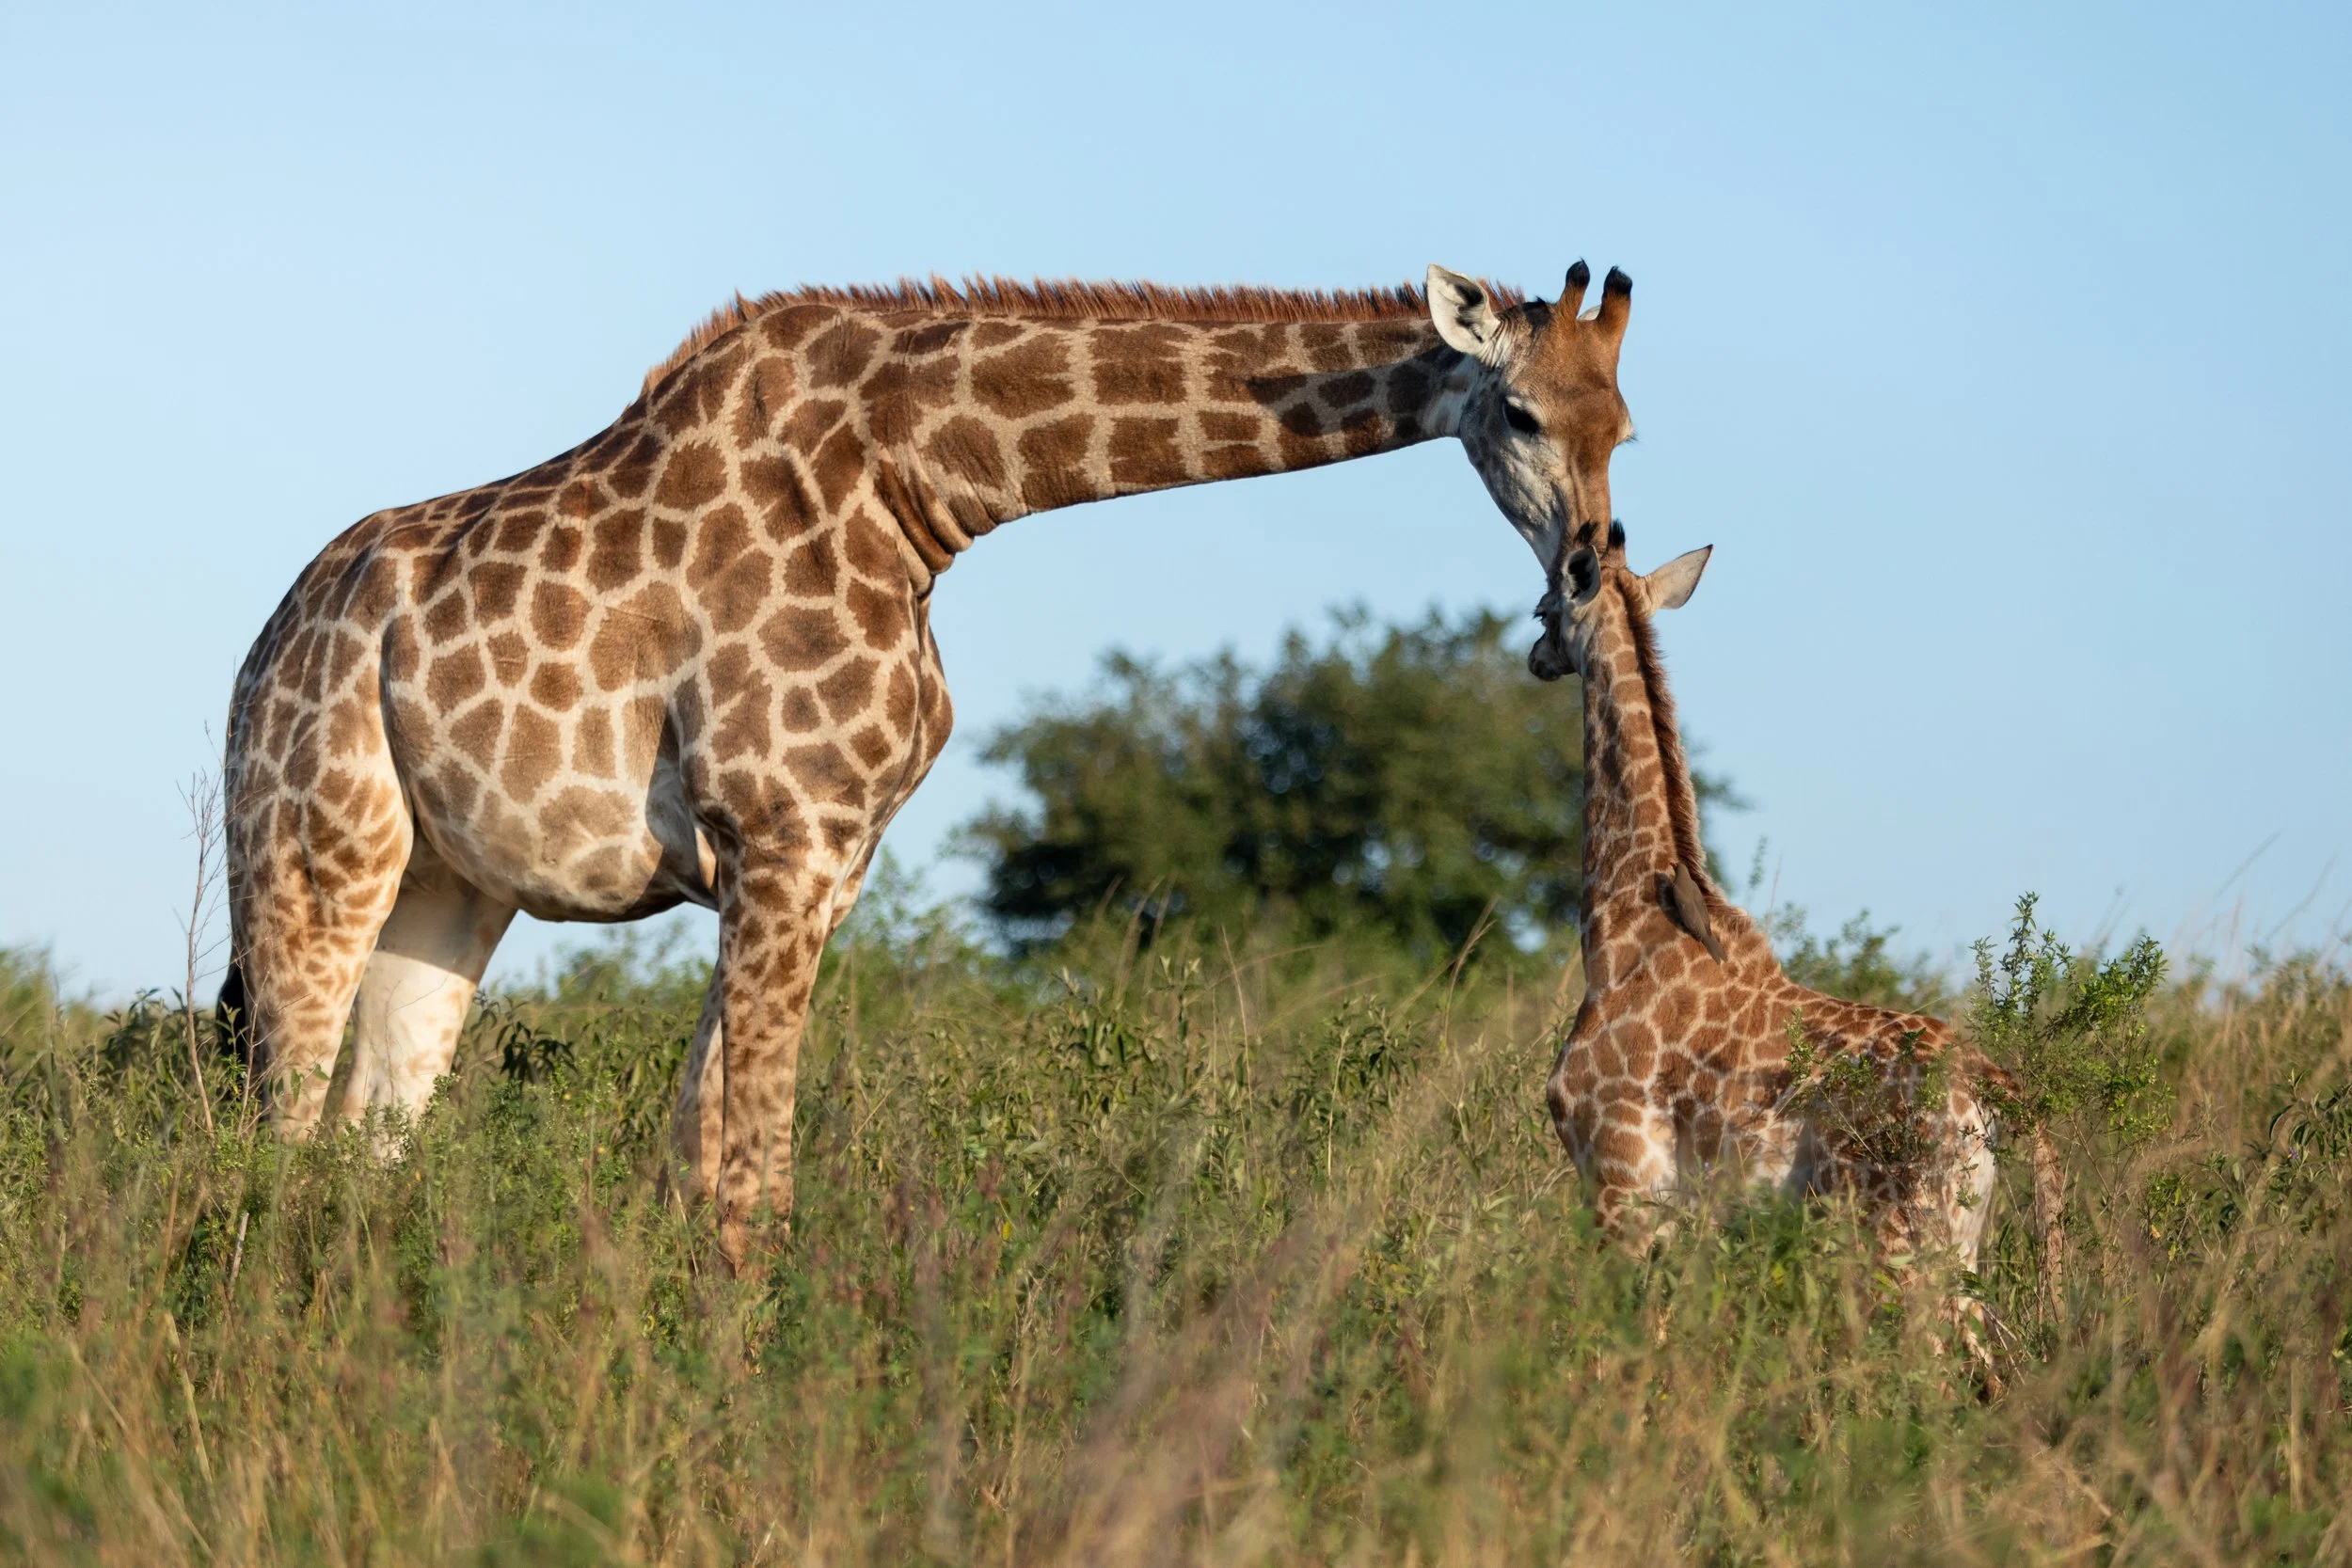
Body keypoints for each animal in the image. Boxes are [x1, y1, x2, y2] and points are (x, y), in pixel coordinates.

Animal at [220, 262, 1640, 1267]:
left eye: (1624, 422)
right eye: (1518, 410)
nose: (1586, 564)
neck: (923, 486)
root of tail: (269, 641)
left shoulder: (822, 859)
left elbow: (693, 1160)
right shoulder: (781, 835)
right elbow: (754, 1189)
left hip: (451, 888)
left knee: (361, 1144)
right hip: (313, 848)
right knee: (272, 1136)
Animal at [1532, 527, 2064, 1299]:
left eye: (1544, 609)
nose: (1535, 656)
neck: (1620, 929)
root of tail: (1990, 1087)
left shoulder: (1620, 1180)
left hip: (1897, 1235)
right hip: (1958, 1239)